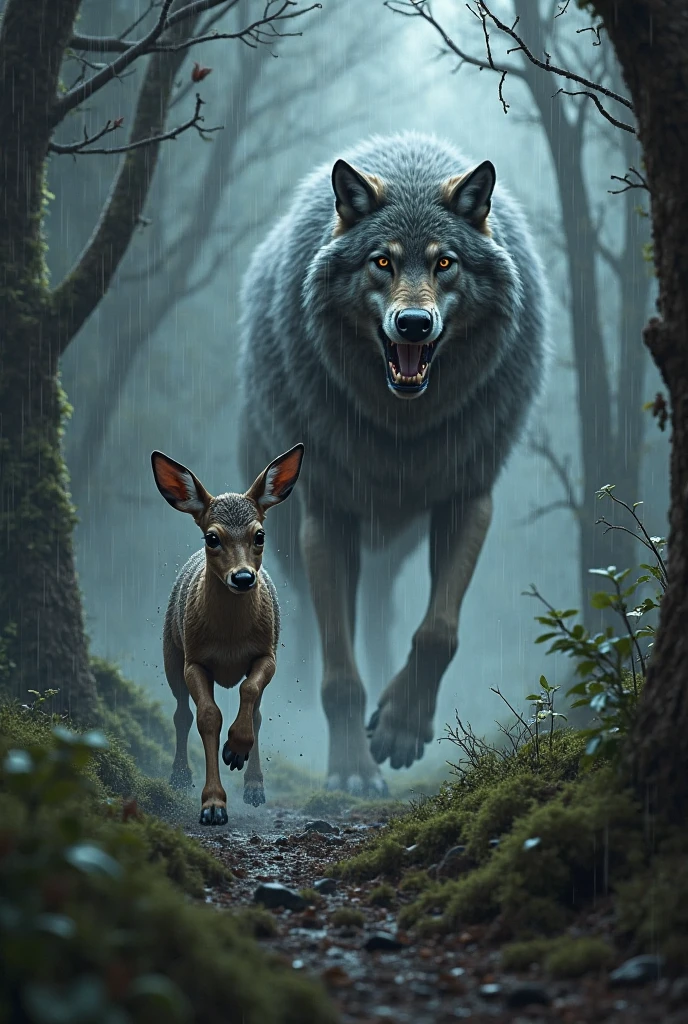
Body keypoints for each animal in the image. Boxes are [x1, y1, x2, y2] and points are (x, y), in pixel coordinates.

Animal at [151, 444, 305, 826]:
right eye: (212, 537)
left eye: (260, 535)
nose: (244, 577)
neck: (230, 640)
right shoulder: (194, 660)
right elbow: (208, 717)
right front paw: (212, 805)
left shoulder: (267, 653)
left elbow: (249, 693)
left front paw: (236, 749)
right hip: (170, 651)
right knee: (180, 714)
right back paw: (179, 777)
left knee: (258, 714)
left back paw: (254, 786)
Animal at [237, 132, 547, 796]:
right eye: (382, 262)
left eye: (444, 263)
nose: (413, 322)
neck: (403, 431)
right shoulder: (328, 516)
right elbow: (339, 675)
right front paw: (353, 769)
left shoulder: (468, 499)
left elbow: (437, 633)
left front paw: (401, 731)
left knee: (382, 615)